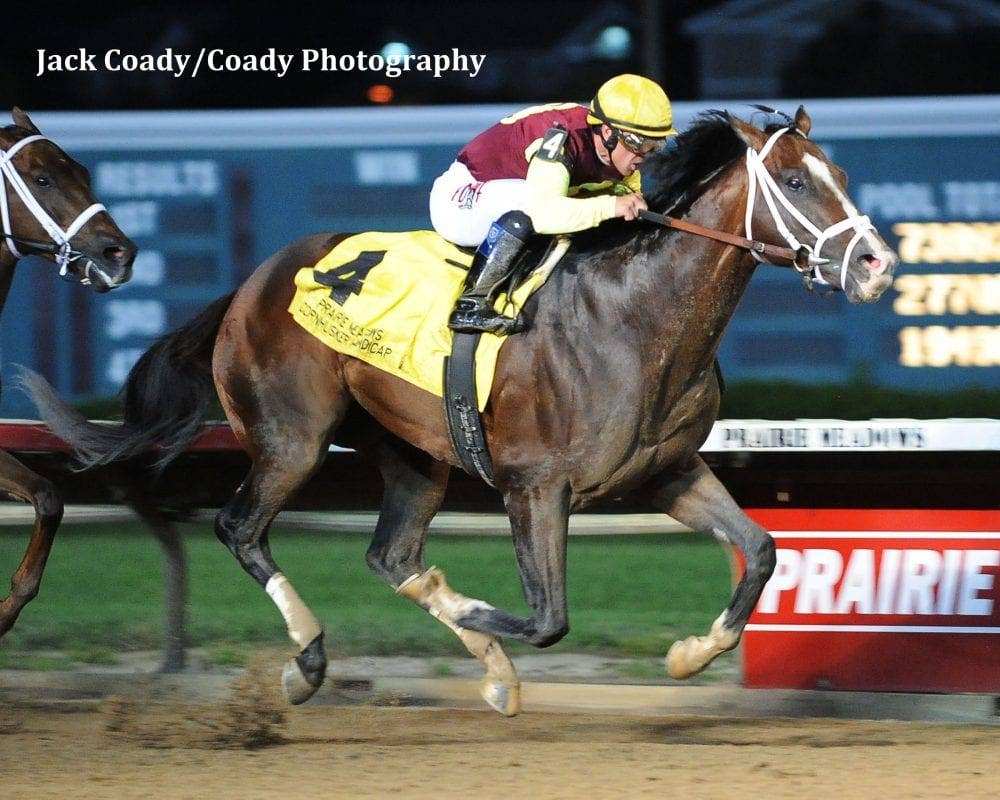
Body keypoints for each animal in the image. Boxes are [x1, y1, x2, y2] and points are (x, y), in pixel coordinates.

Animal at [26, 107, 897, 715]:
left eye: (840, 172)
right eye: (795, 183)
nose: (875, 263)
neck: (636, 315)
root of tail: (250, 284)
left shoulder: (668, 472)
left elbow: (762, 551)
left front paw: (687, 654)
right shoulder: (536, 487)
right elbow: (546, 619)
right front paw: (479, 619)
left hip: (413, 455)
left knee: (391, 556)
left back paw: (475, 662)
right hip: (292, 439)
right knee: (242, 529)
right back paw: (309, 662)